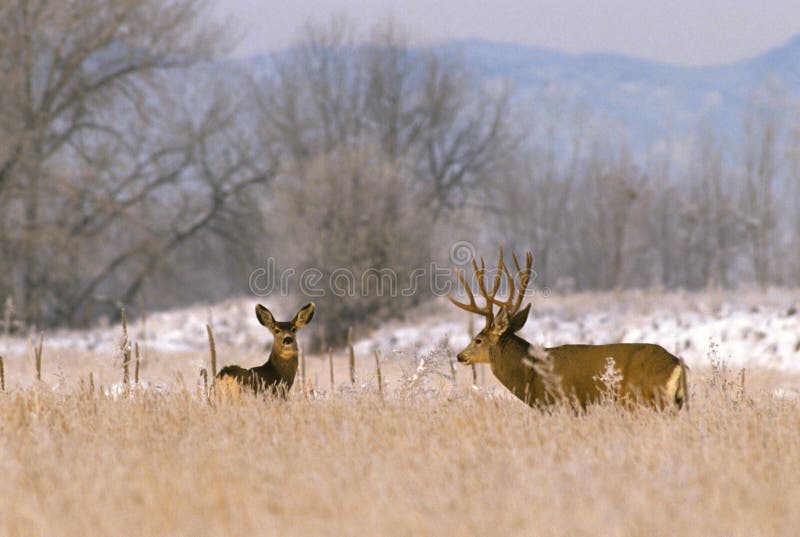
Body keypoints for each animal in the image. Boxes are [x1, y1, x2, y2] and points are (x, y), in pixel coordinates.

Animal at [449, 249, 688, 410]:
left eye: (478, 339)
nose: (460, 356)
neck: (531, 374)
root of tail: (677, 365)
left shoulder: (566, 404)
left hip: (649, 399)